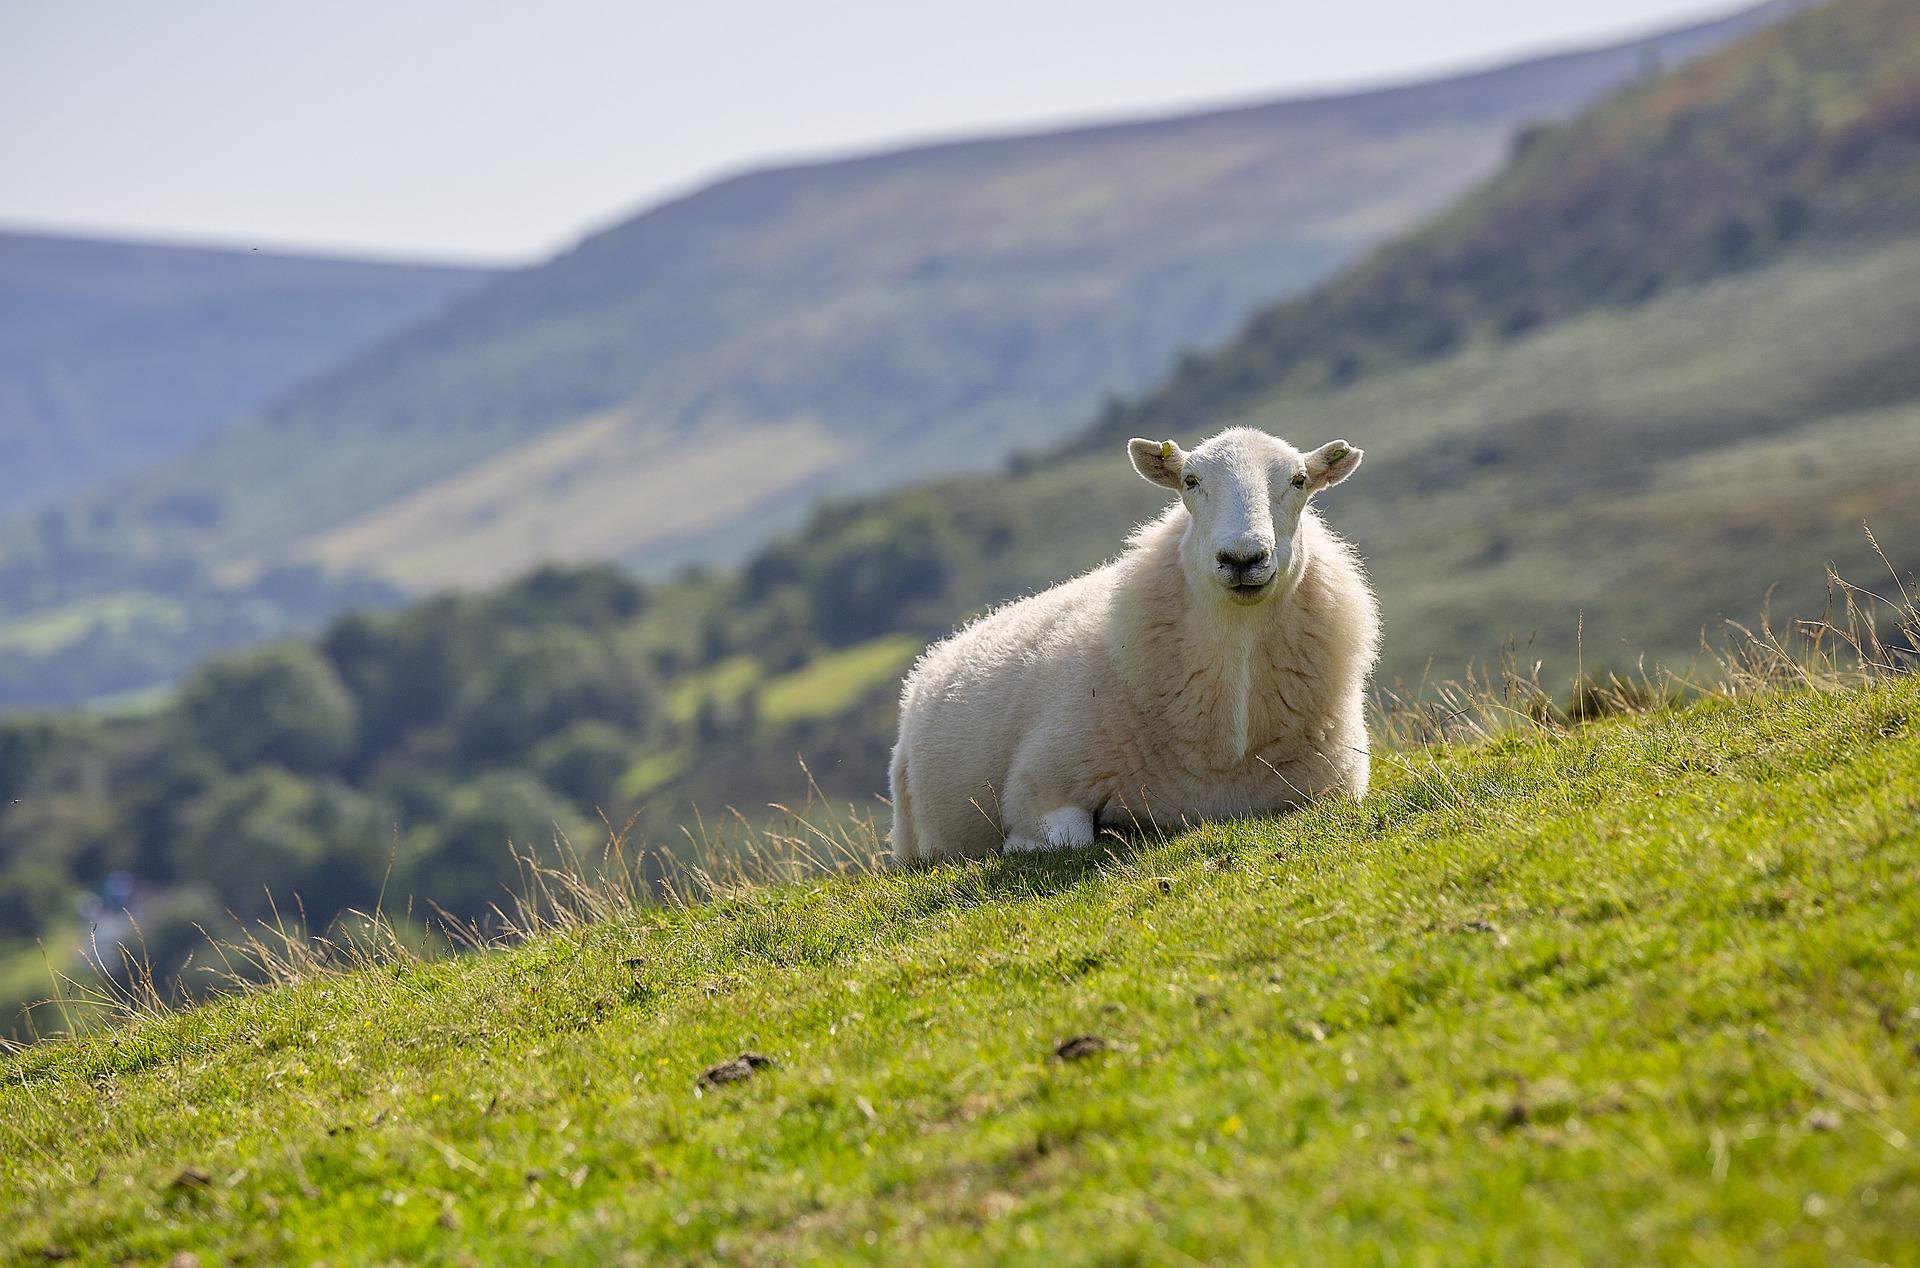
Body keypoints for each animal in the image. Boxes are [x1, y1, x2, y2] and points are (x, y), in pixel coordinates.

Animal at [887, 426, 1379, 863]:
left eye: (1299, 480)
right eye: (1190, 480)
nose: (1243, 558)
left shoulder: (1336, 789)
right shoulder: (1041, 786)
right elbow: (1065, 839)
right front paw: (1026, 846)